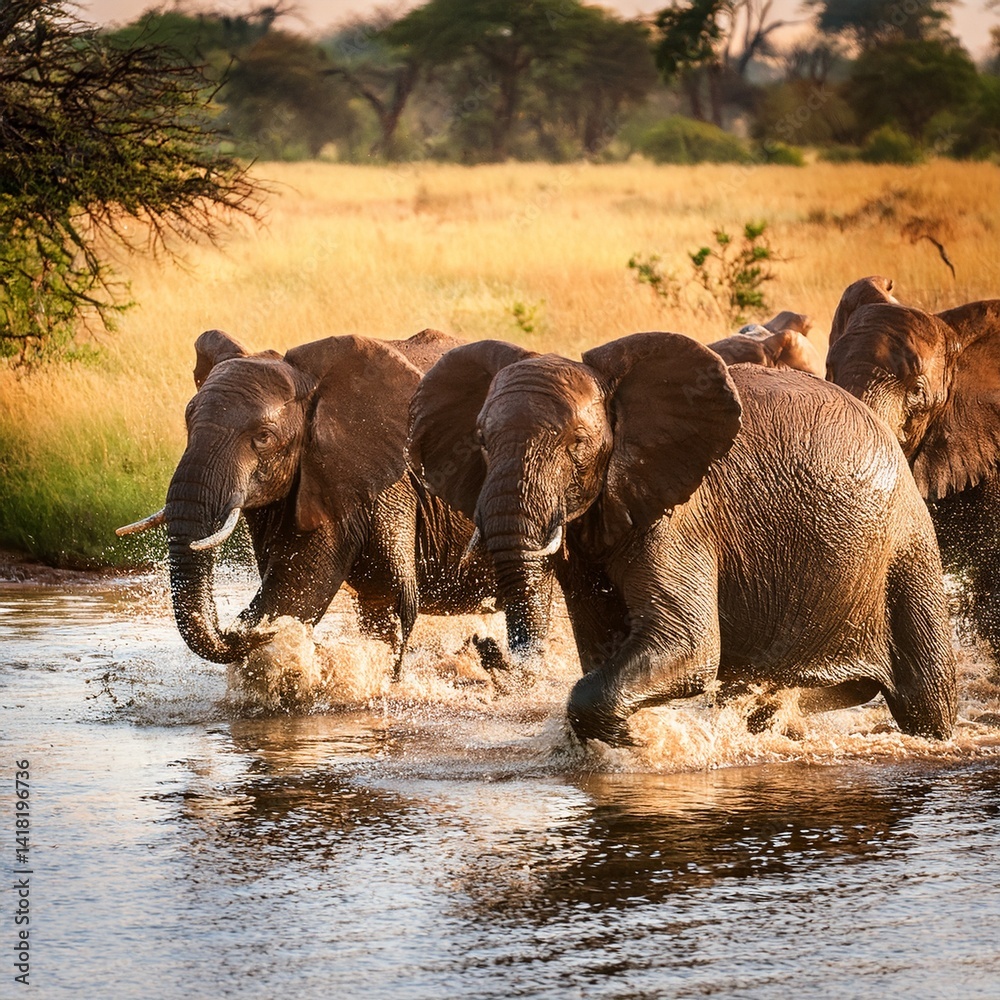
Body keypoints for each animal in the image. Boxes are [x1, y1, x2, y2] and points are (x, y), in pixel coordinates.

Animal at [118, 328, 495, 674]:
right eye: (188, 422)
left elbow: (310, 582)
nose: (239, 629)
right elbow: (305, 582)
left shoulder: (374, 475)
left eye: (264, 437)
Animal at [407, 332, 957, 746]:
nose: (482, 643)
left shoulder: (678, 515)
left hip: (905, 544)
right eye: (481, 441)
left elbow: (689, 645)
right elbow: (603, 645)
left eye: (577, 445)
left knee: (927, 698)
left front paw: (638, 743)